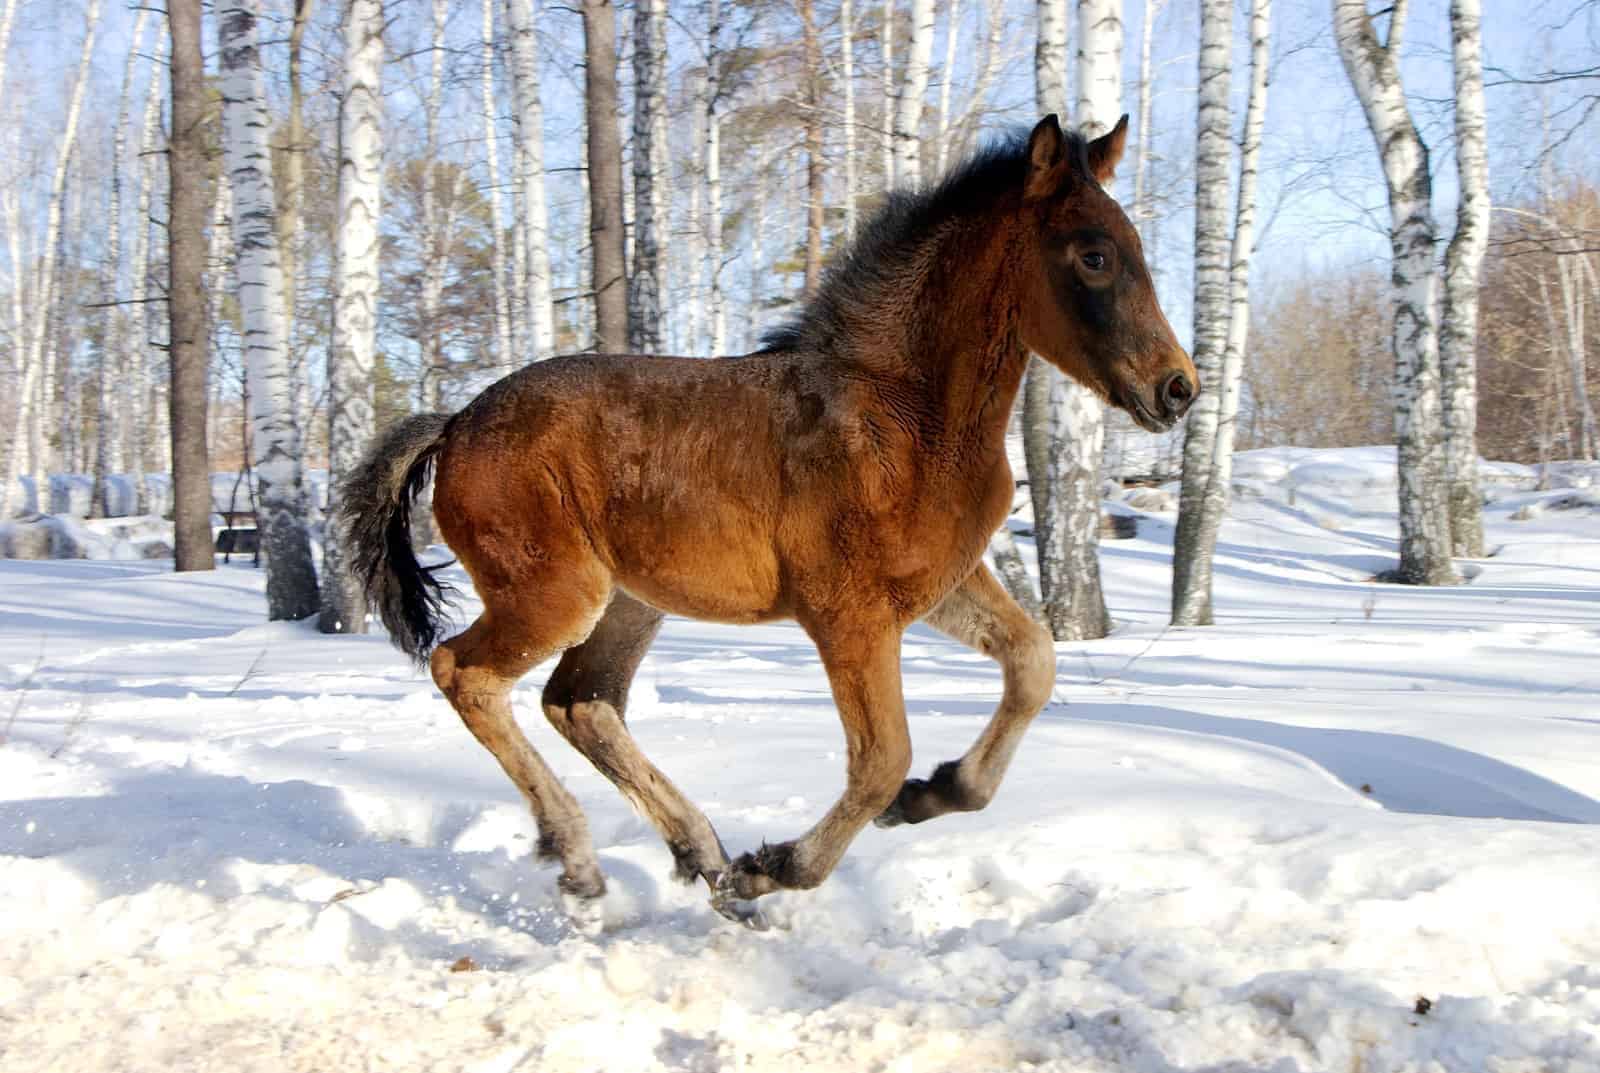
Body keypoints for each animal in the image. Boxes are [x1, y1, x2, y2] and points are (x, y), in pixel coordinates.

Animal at [340, 114, 1196, 927]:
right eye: (1093, 255)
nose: (1179, 387)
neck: (910, 417)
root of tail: (454, 425)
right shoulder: (847, 616)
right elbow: (881, 758)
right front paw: (781, 864)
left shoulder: (940, 586)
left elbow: (1033, 661)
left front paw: (936, 792)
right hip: (551, 593)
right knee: (464, 671)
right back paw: (585, 859)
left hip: (630, 602)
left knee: (580, 702)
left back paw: (702, 856)